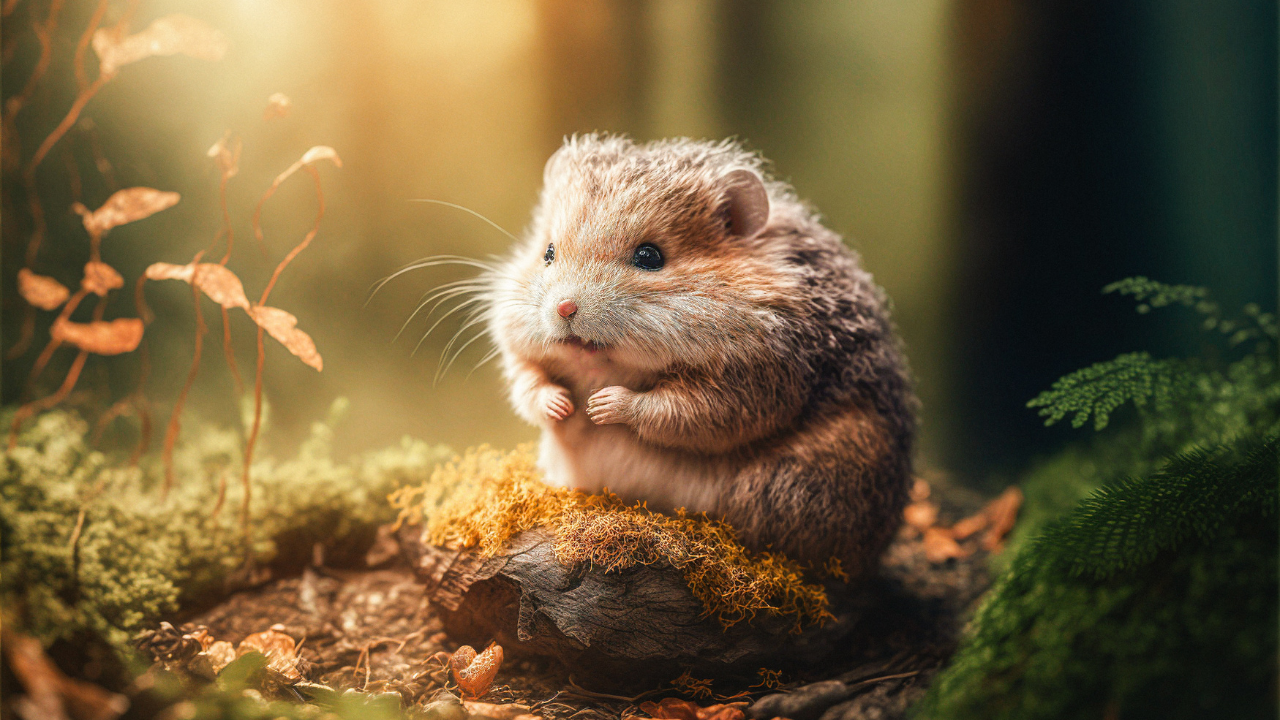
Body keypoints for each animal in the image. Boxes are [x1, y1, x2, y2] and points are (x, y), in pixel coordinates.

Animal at [482, 134, 917, 579]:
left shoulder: (752, 385)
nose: (565, 308)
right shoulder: (516, 345)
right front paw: (562, 406)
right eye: (548, 252)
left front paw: (603, 406)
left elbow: (676, 411)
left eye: (650, 256)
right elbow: (528, 383)